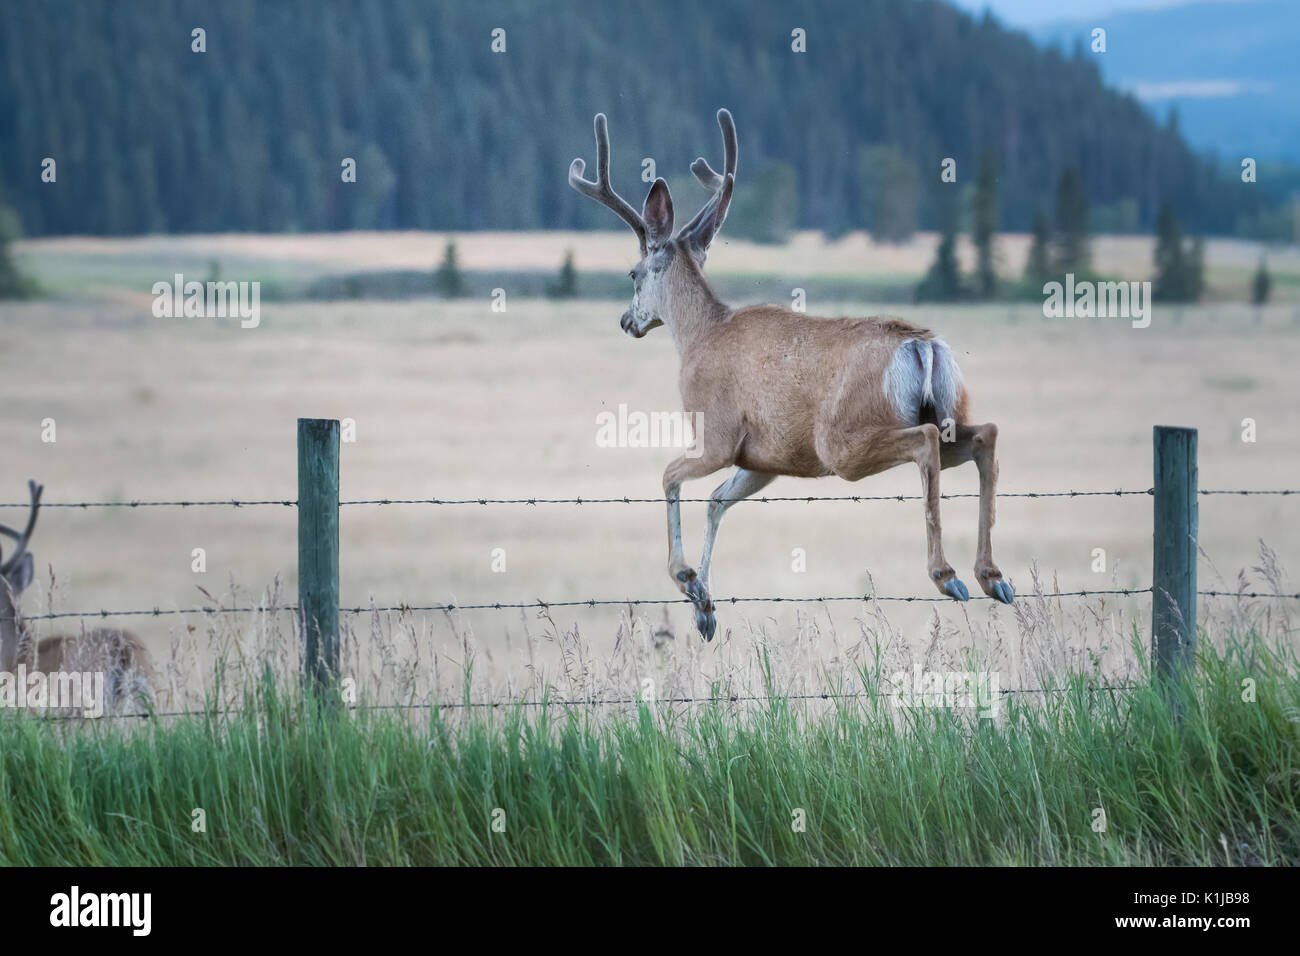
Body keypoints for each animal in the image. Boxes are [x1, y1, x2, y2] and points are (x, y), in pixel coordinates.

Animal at [568, 109, 1014, 640]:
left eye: (633, 274)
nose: (626, 321)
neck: (699, 335)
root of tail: (921, 346)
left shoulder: (716, 433)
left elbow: (669, 477)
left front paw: (684, 576)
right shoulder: (764, 458)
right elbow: (717, 502)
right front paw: (704, 606)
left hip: (844, 438)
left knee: (924, 441)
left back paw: (947, 575)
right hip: (948, 412)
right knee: (985, 433)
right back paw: (992, 576)